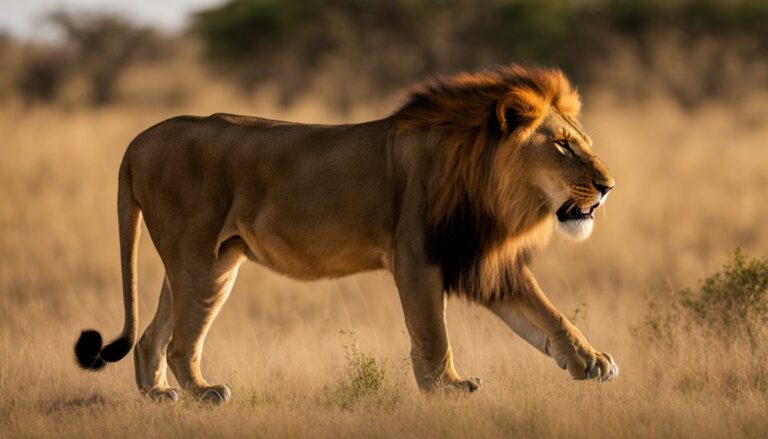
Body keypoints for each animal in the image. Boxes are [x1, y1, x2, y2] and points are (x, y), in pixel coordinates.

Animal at [74, 65, 618, 403]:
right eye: (563, 146)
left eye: (582, 142)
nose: (608, 186)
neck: (489, 184)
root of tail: (140, 139)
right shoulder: (416, 256)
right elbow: (432, 330)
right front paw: (446, 387)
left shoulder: (483, 260)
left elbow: (546, 314)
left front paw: (589, 359)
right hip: (200, 260)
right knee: (179, 342)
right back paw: (206, 393)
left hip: (210, 262)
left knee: (151, 338)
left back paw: (158, 394)